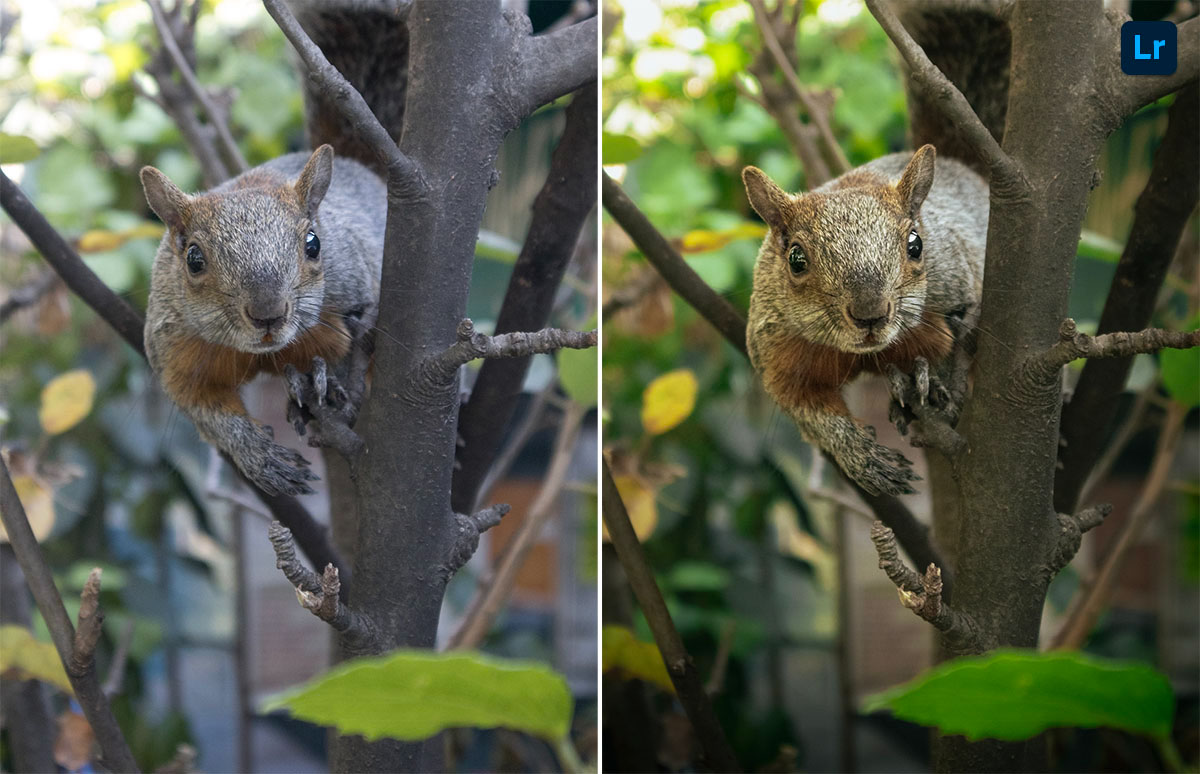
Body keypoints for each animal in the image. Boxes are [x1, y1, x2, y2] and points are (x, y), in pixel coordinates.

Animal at [140, 1, 404, 496]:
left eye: (315, 244)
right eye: (194, 259)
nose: (268, 314)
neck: (260, 355)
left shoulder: (352, 292)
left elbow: (350, 347)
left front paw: (325, 376)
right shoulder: (177, 348)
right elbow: (205, 409)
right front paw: (261, 459)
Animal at [742, 2, 1006, 496]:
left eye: (917, 245)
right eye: (796, 259)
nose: (870, 314)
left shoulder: (955, 288)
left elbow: (955, 343)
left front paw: (934, 380)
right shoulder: (779, 349)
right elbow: (809, 411)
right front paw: (865, 460)